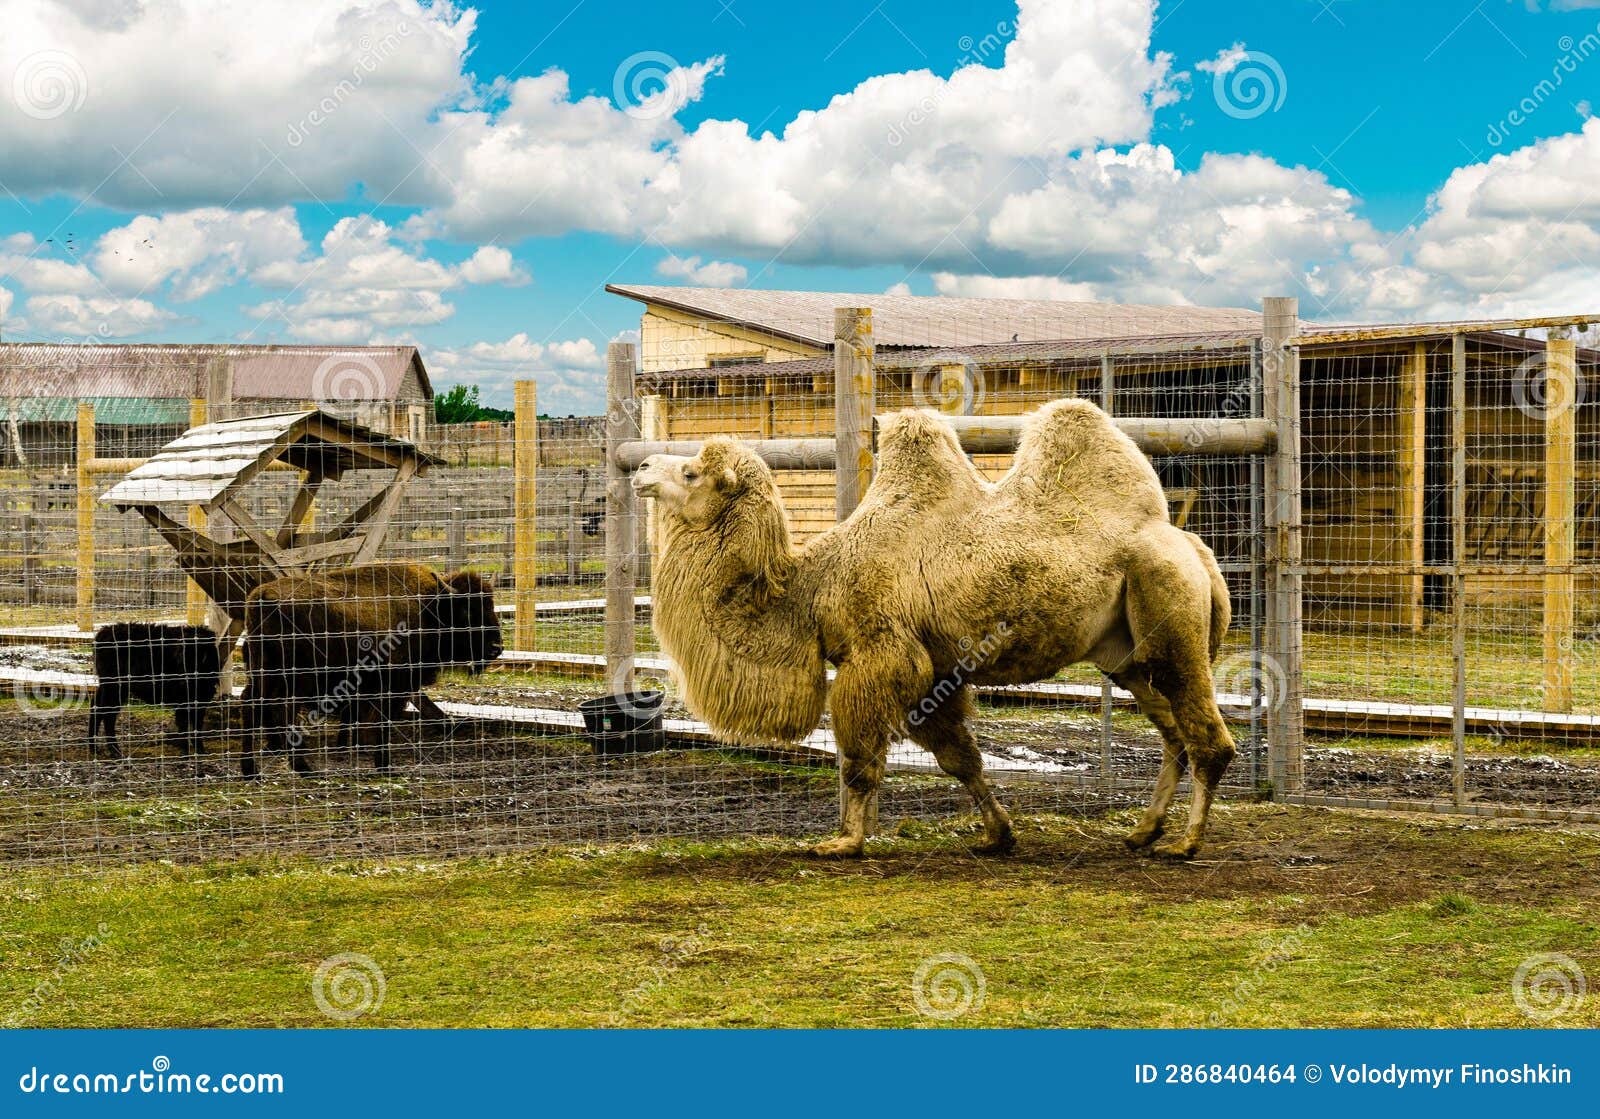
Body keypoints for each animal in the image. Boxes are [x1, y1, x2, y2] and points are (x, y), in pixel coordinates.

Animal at [632, 399, 1236, 859]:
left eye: (691, 473)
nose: (641, 469)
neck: (811, 590)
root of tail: (1194, 549)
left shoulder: (880, 655)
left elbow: (859, 756)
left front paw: (845, 841)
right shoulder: (933, 671)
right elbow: (959, 758)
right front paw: (998, 835)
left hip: (1169, 606)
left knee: (1208, 737)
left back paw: (1184, 843)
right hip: (1125, 654)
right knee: (1173, 732)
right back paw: (1143, 831)